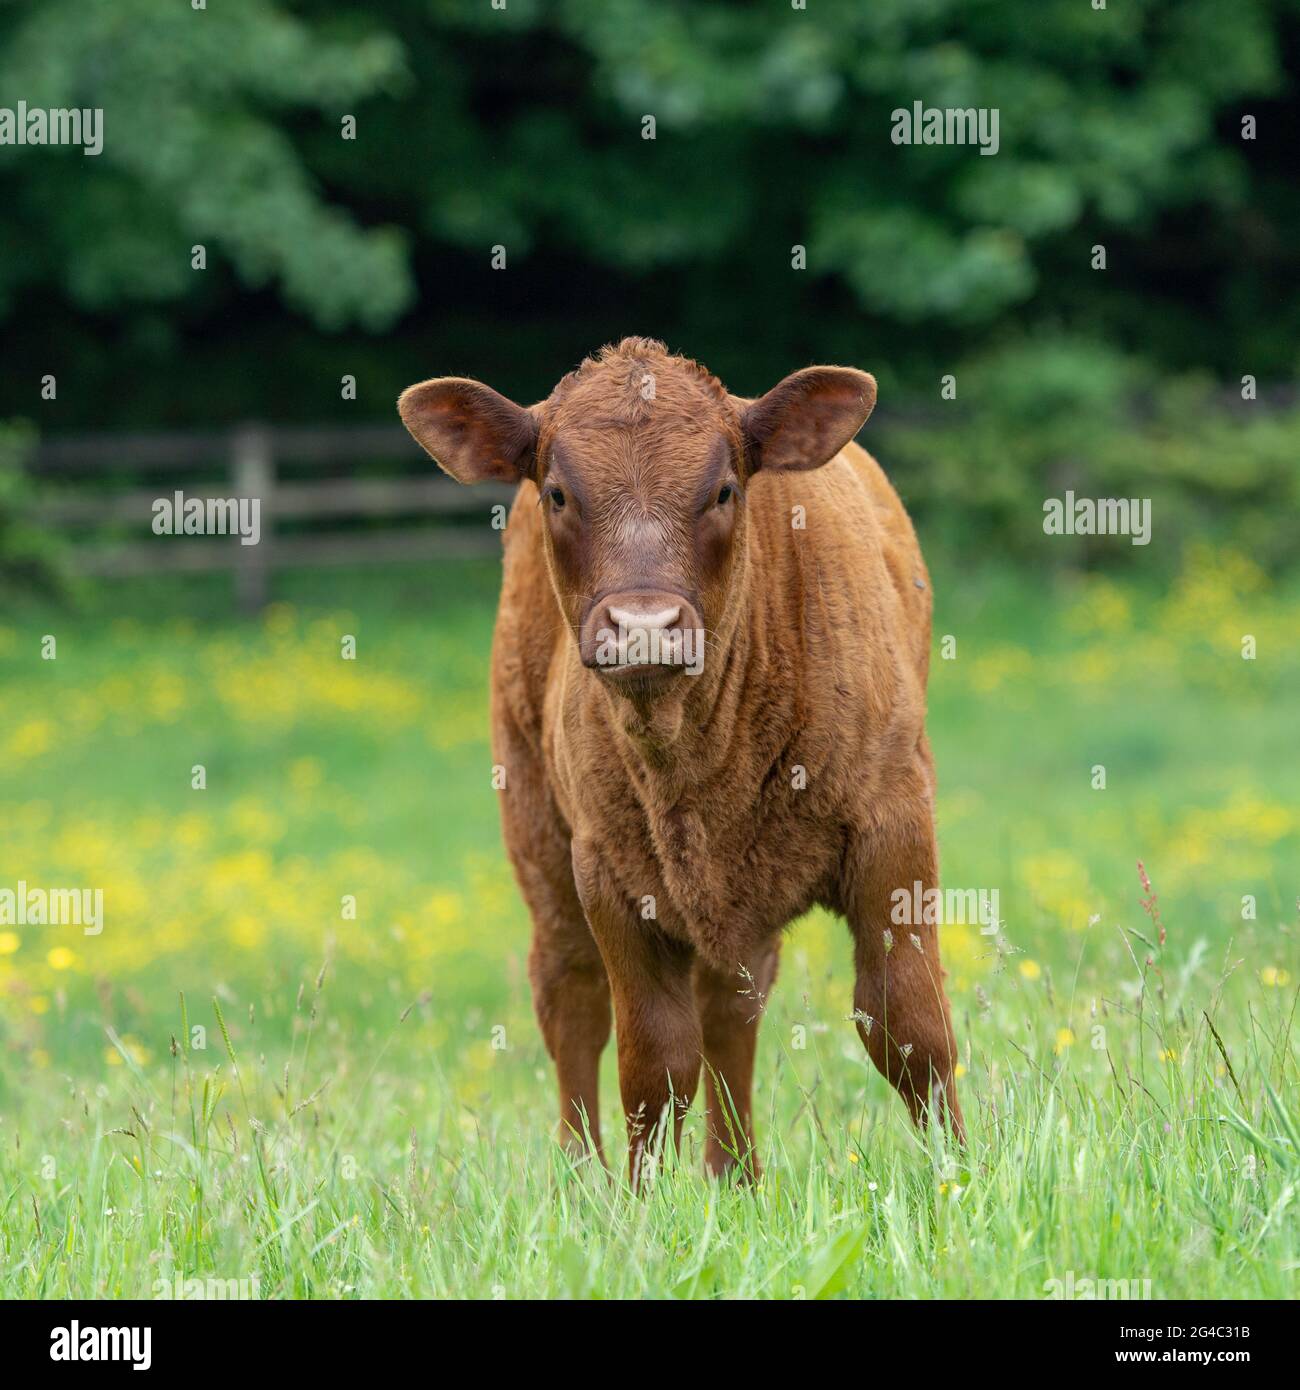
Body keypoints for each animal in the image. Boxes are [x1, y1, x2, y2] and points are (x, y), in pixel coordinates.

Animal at [399, 338, 965, 1183]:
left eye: (724, 489)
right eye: (559, 493)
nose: (643, 625)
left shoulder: (894, 828)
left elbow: (910, 1025)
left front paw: (962, 1173)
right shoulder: (607, 872)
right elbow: (653, 1065)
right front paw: (641, 1202)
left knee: (729, 1008)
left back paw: (736, 1176)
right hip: (536, 831)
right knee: (570, 997)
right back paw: (584, 1179)